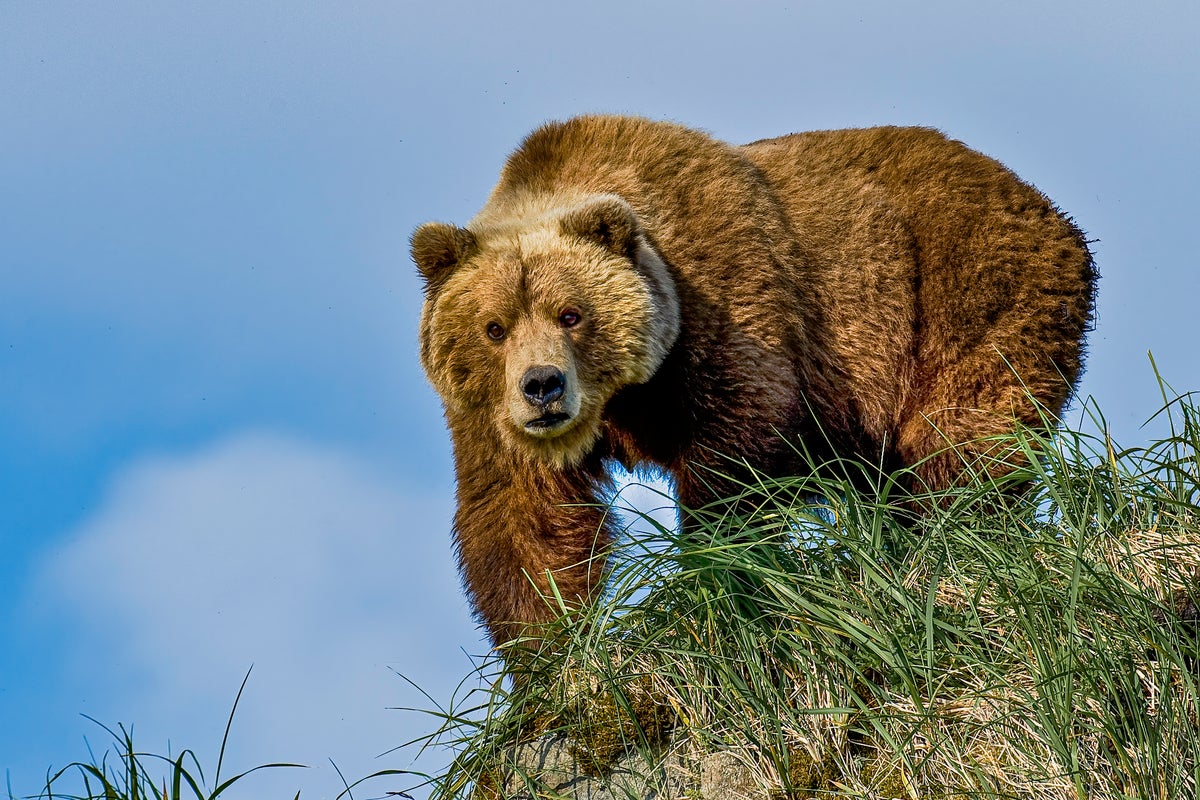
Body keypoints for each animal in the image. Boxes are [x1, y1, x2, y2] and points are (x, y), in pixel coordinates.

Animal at [412, 115, 1096, 649]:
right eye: (494, 327)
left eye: (572, 314)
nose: (543, 386)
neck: (624, 398)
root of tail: (1048, 208)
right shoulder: (489, 419)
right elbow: (521, 520)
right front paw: (546, 649)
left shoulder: (726, 307)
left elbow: (734, 460)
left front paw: (712, 577)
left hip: (968, 293)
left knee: (961, 439)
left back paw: (955, 541)